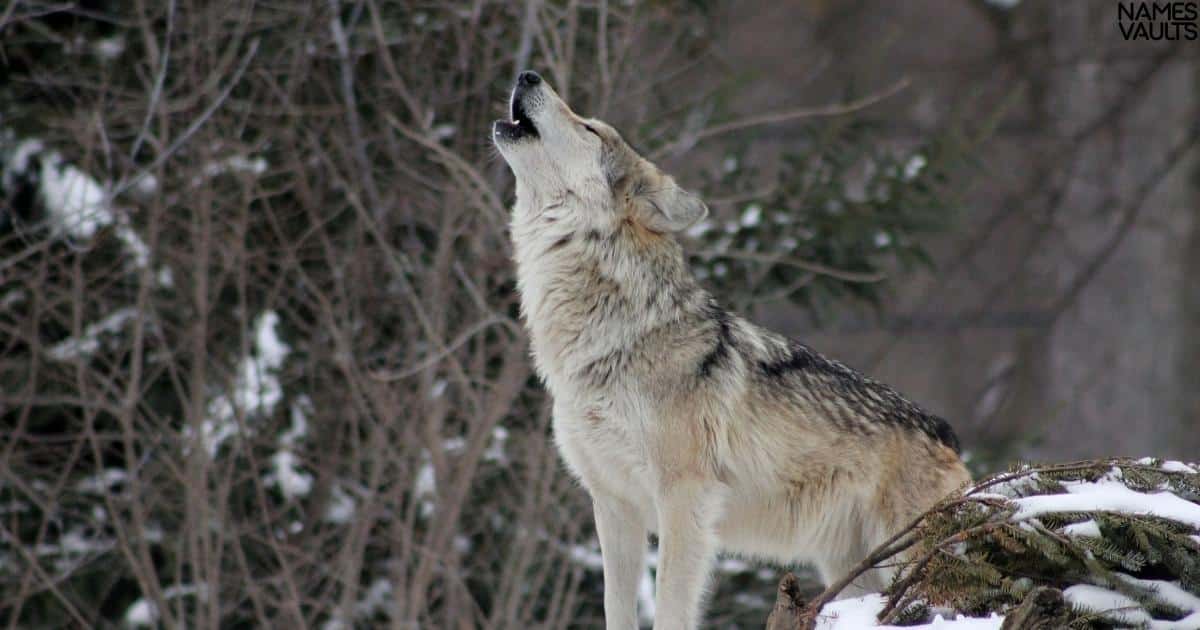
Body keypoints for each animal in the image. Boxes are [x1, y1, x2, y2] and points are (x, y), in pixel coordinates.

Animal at [493, 71, 971, 630]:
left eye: (589, 127)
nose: (527, 74)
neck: (613, 336)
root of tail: (945, 434)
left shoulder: (684, 500)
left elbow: (671, 610)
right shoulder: (613, 506)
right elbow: (616, 609)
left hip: (903, 561)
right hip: (853, 569)